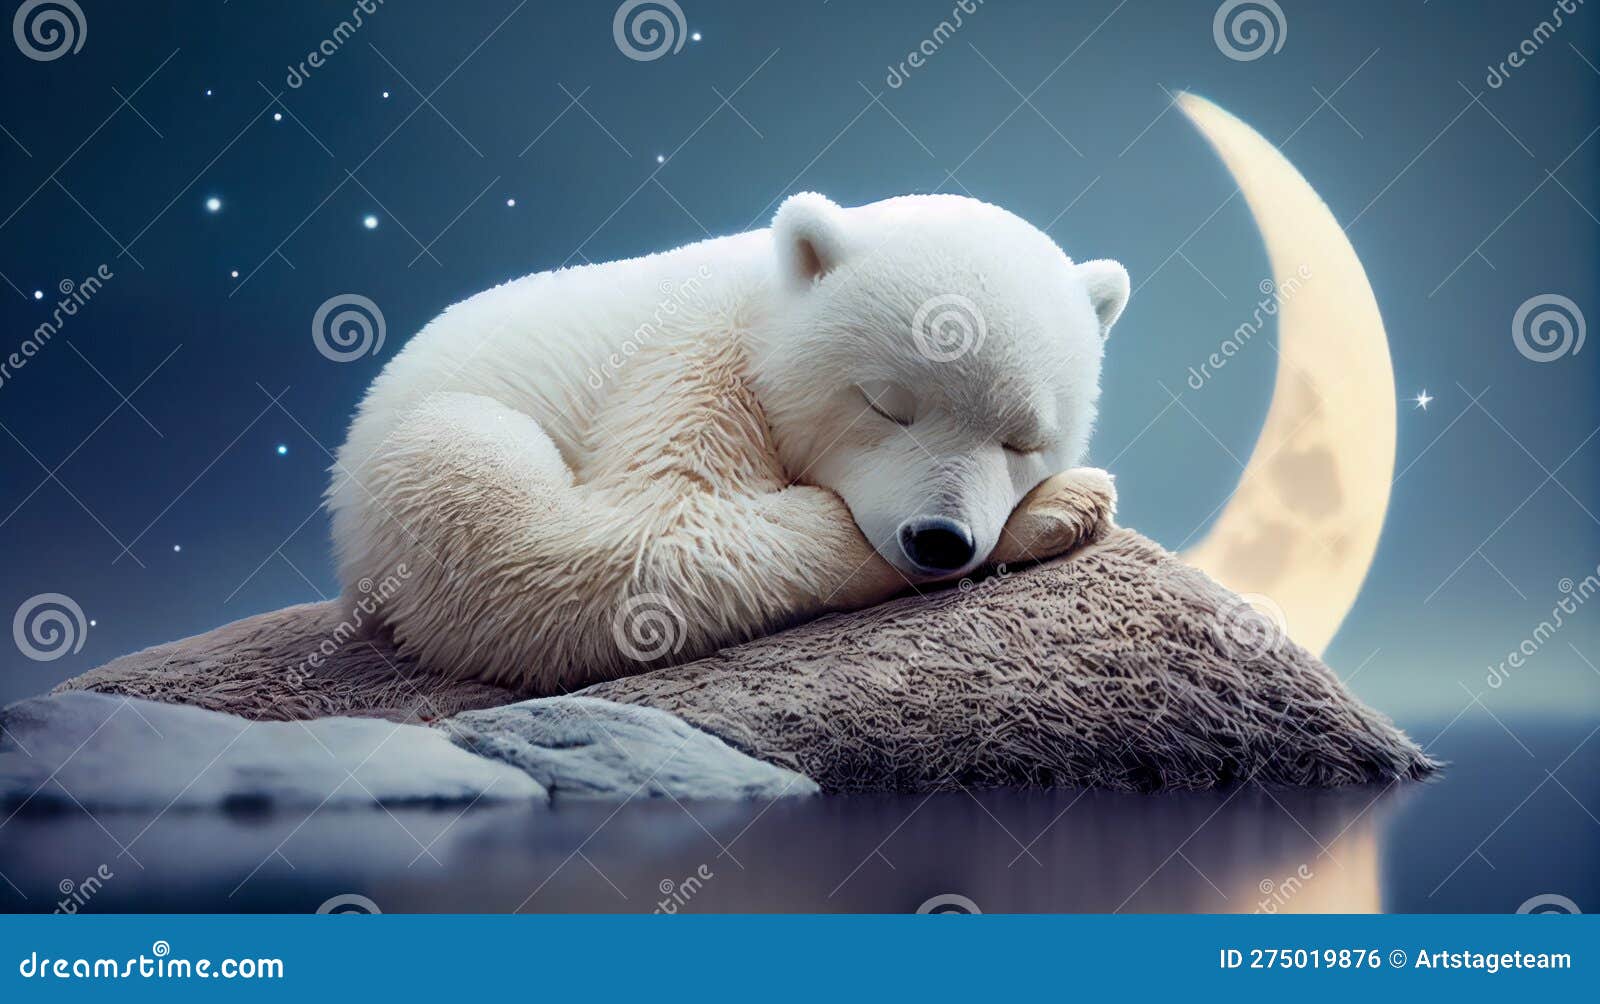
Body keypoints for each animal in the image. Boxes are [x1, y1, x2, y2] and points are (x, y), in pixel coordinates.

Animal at [327, 192, 1129, 693]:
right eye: (883, 404)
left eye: (1024, 438)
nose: (938, 539)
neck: (768, 299)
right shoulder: (700, 357)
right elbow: (645, 543)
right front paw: (1066, 503)